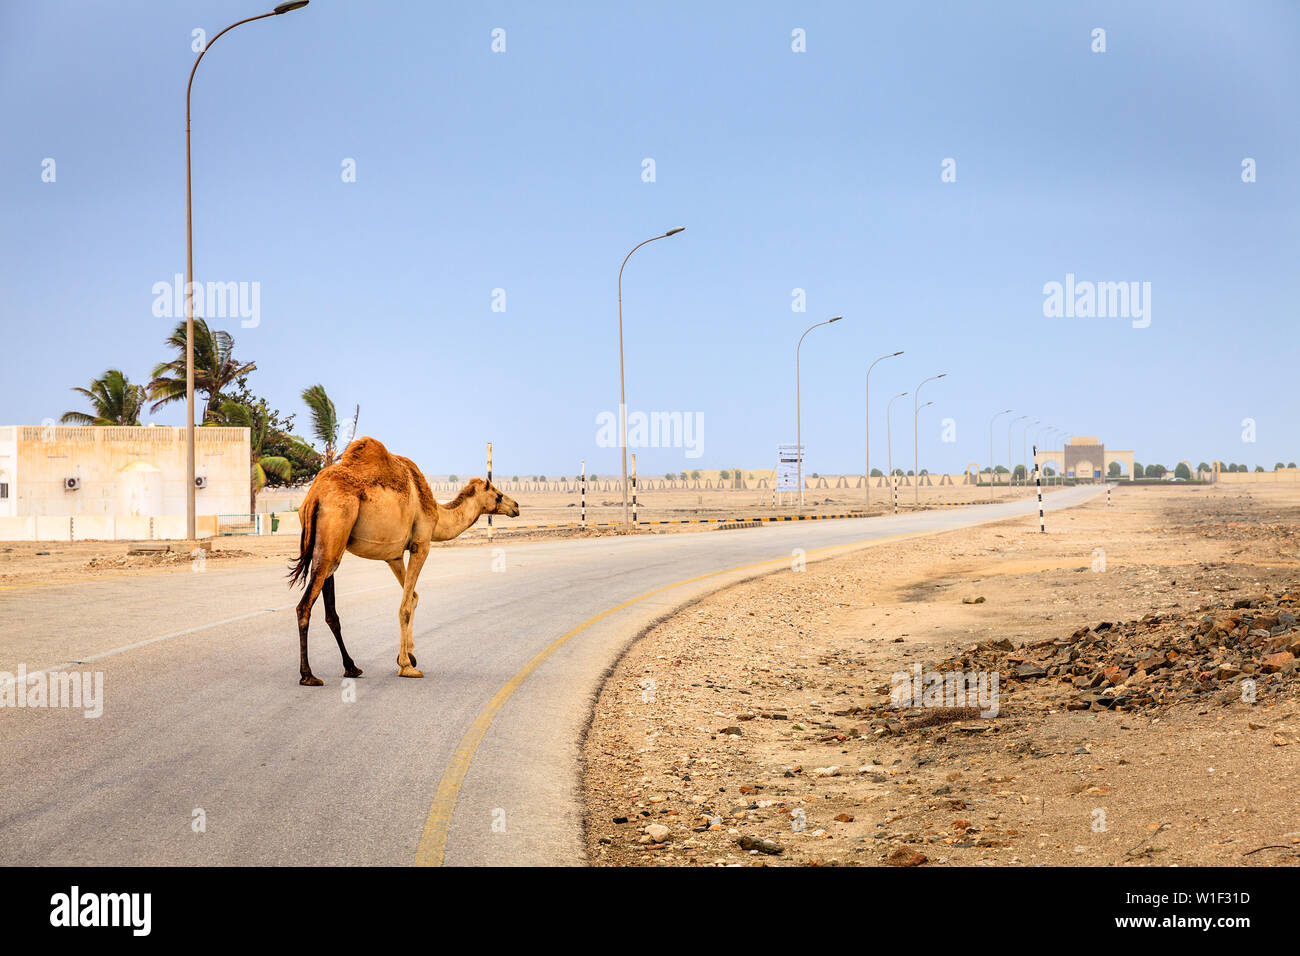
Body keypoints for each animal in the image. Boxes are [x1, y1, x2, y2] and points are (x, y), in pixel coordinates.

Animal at [288, 437, 517, 686]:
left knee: (330, 606)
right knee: (304, 605)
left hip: (328, 544)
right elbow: (406, 605)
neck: (436, 514)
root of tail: (315, 496)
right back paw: (308, 675)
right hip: (336, 526)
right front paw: (407, 666)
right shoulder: (421, 544)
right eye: (498, 494)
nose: (516, 506)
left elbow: (413, 596)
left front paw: (408, 656)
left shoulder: (394, 556)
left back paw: (351, 667)